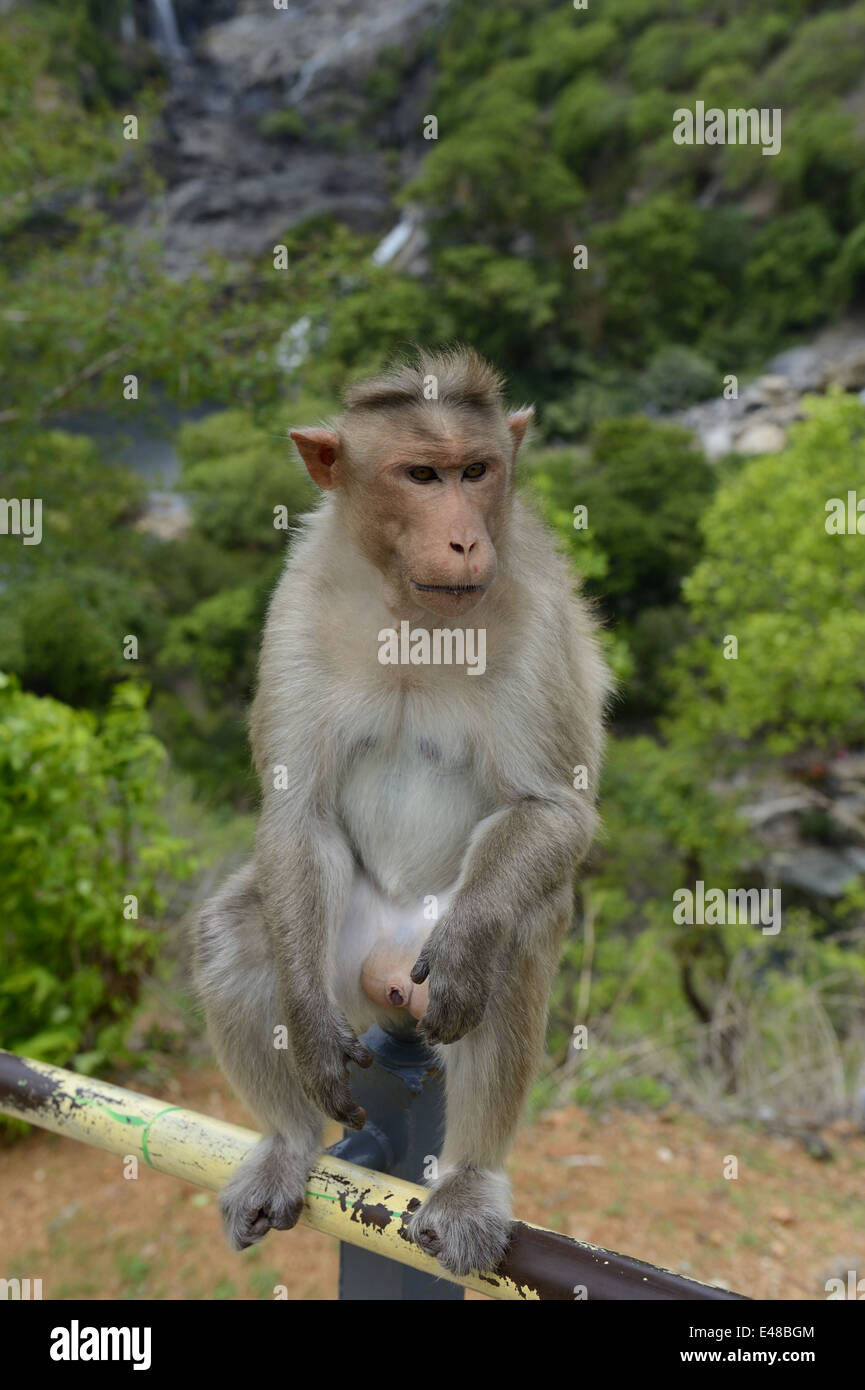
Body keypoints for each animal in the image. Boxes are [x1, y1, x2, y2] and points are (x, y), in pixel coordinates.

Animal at [192, 346, 610, 1276]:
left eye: (475, 471)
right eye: (421, 475)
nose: (464, 537)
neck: (412, 612)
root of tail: (385, 968)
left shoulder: (536, 614)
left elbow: (554, 808)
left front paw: (471, 941)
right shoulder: (295, 606)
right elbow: (297, 812)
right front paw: (309, 1042)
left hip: (423, 956)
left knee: (515, 938)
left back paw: (467, 1182)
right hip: (339, 950)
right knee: (239, 928)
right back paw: (285, 1144)